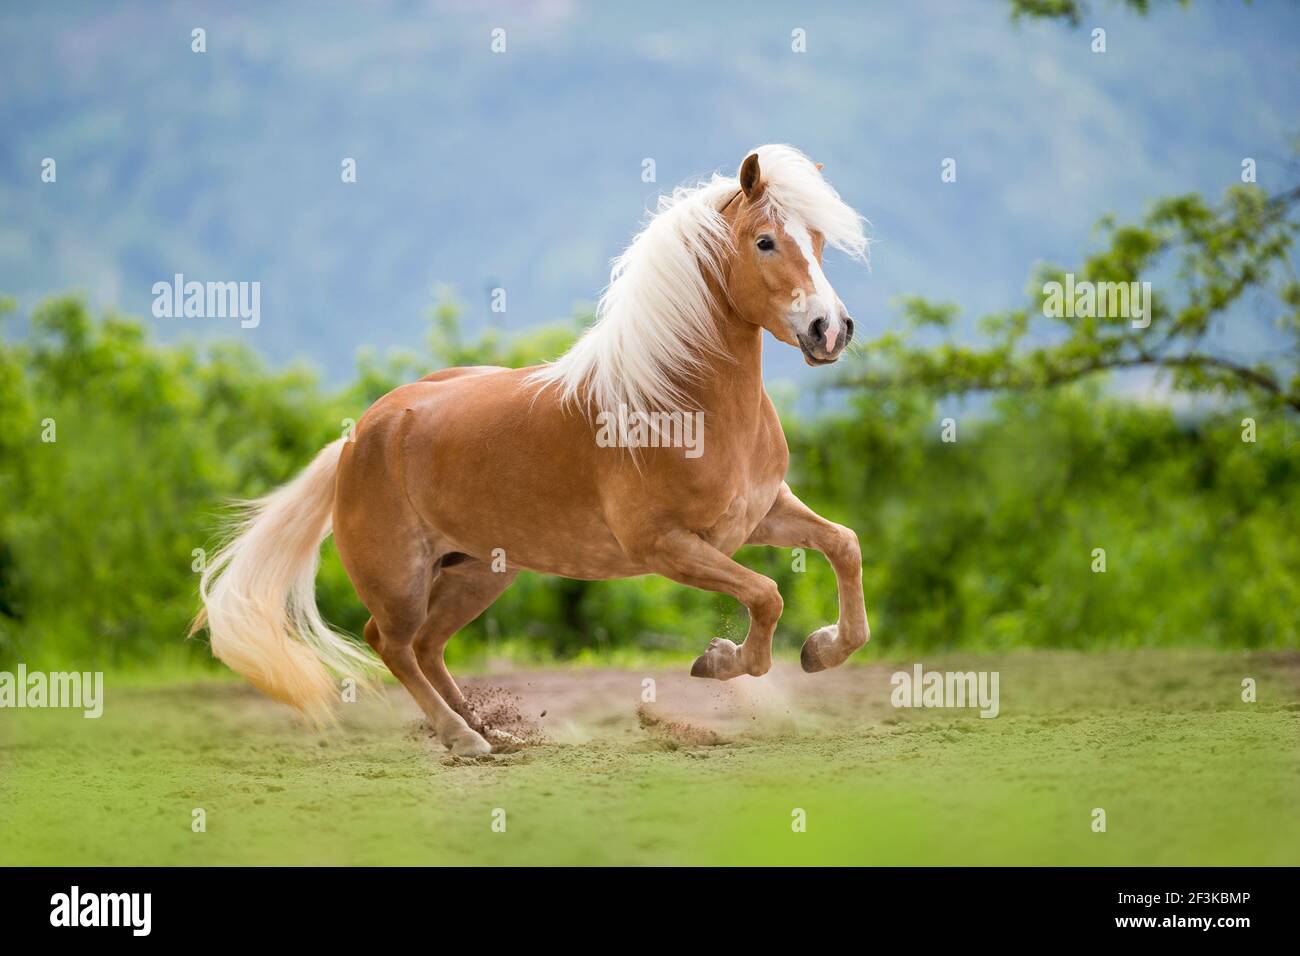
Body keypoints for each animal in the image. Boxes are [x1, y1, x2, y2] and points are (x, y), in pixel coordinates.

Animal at [192, 144, 872, 755]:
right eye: (765, 241)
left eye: (818, 241)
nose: (830, 330)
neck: (678, 403)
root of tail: (360, 433)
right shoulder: (666, 546)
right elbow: (766, 594)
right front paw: (720, 660)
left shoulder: (758, 515)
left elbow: (843, 545)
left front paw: (821, 650)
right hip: (403, 579)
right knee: (391, 643)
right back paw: (463, 738)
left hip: (478, 571)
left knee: (425, 646)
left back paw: (494, 730)